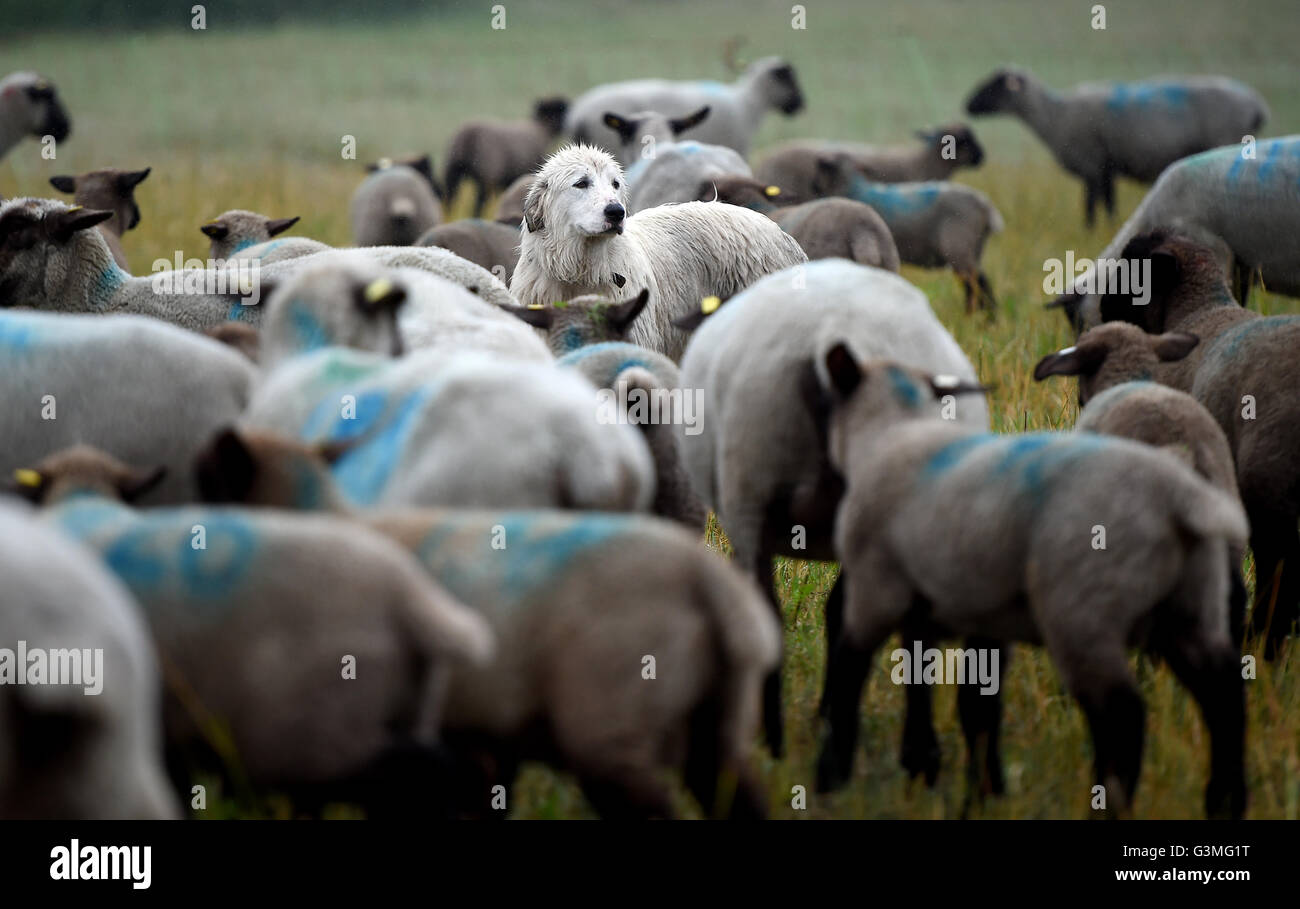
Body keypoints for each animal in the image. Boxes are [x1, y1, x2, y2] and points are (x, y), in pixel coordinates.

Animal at [812, 154, 1003, 315]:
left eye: (825, 170)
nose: (814, 186)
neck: (853, 188)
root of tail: (985, 205)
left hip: (959, 247)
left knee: (975, 284)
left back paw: (974, 316)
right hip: (975, 248)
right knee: (981, 282)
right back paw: (988, 318)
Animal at [965, 67, 1268, 226]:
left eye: (993, 85)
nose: (967, 105)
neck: (1055, 116)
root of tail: (1256, 105)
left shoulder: (1091, 165)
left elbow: (1091, 206)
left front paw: (1091, 232)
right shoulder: (1106, 168)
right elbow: (1108, 203)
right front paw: (1107, 229)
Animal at [1097, 230, 1300, 656]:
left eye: (1130, 271)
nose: (1105, 309)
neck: (1199, 309)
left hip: (1268, 482)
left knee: (1280, 567)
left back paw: (1262, 641)